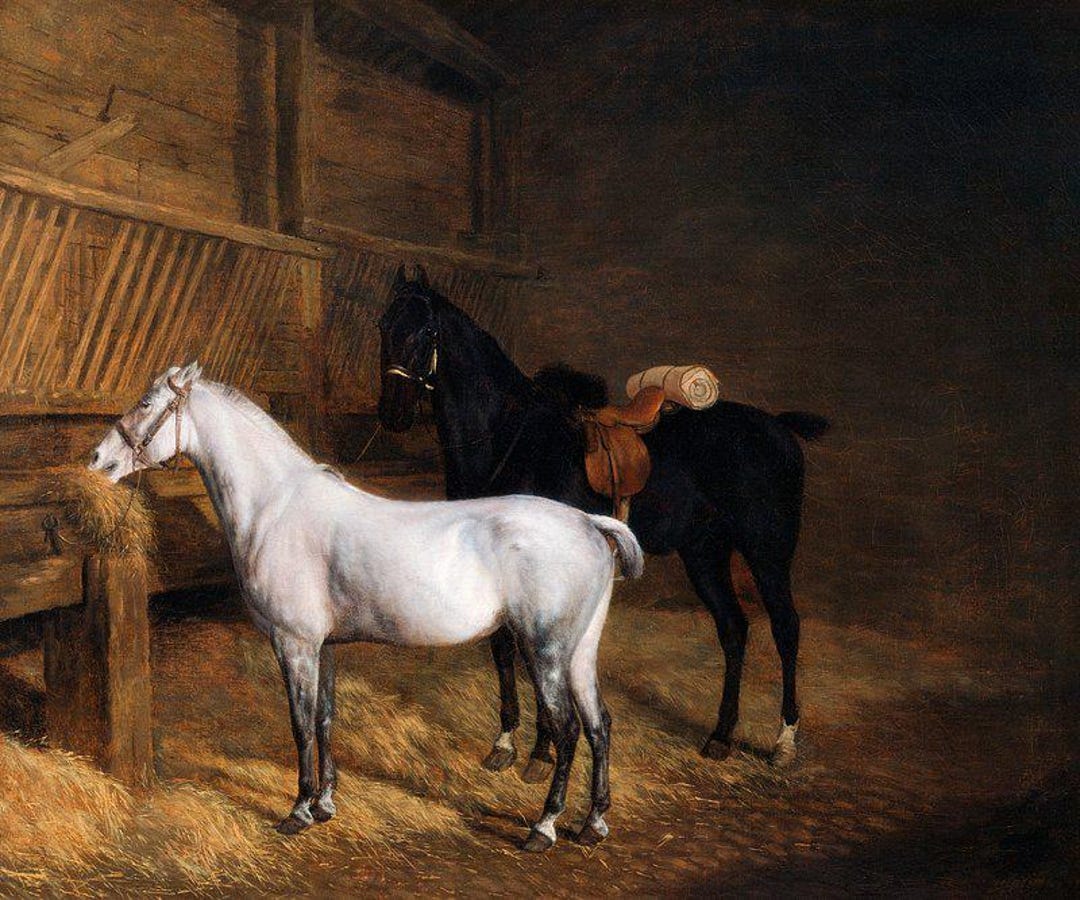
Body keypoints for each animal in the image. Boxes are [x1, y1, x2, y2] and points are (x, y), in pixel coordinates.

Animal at [88, 362, 644, 852]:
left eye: (145, 402)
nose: (97, 460)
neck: (276, 508)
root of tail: (589, 523)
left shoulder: (293, 643)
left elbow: (300, 722)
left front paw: (298, 811)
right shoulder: (324, 646)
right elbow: (325, 719)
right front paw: (326, 804)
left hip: (546, 651)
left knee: (569, 730)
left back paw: (544, 828)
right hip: (579, 652)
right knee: (600, 725)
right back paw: (592, 824)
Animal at [377, 266, 830, 778]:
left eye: (427, 332)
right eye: (383, 326)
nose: (392, 414)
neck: (510, 441)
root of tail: (778, 426)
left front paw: (542, 753)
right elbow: (502, 649)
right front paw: (506, 742)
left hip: (767, 550)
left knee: (786, 628)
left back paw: (784, 742)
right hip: (705, 552)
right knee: (733, 629)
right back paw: (720, 737)